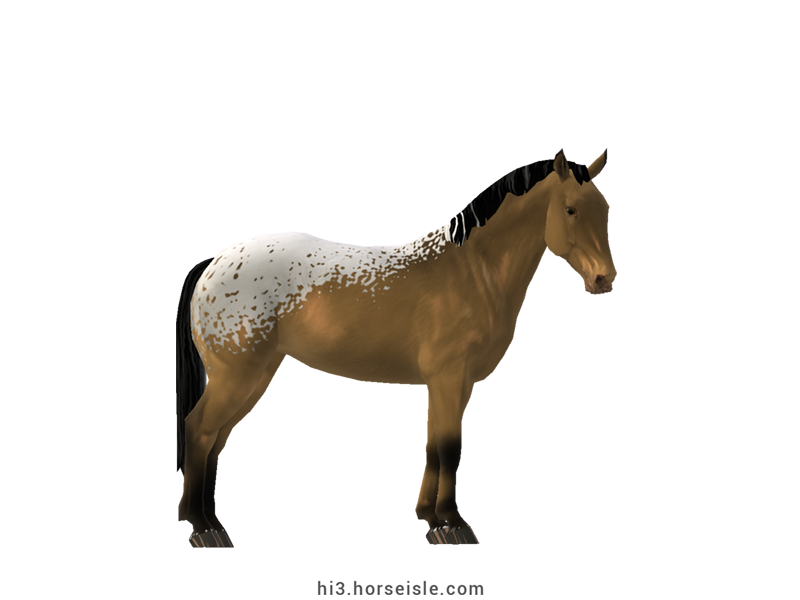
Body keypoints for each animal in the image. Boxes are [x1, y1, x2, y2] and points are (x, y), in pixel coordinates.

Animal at [176, 151, 615, 545]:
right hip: (234, 376)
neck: (475, 271)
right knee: (199, 430)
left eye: (603, 209)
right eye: (572, 210)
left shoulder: (446, 381)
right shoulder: (448, 376)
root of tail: (213, 265)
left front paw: (429, 517)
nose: (603, 279)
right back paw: (202, 527)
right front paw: (452, 520)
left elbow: (435, 446)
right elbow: (450, 446)